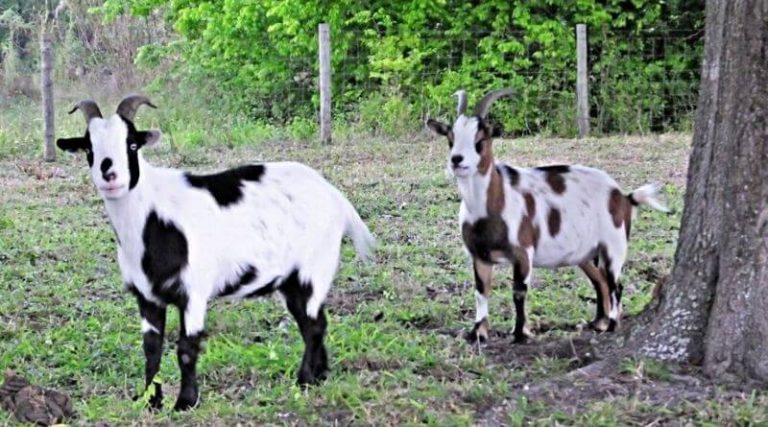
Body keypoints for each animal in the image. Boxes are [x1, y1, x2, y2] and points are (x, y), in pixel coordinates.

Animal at [56, 95, 375, 411]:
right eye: (89, 148)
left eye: (132, 145)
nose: (109, 175)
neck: (151, 218)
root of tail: (335, 195)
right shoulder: (146, 296)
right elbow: (151, 348)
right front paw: (151, 401)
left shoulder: (193, 291)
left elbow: (186, 348)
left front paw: (185, 402)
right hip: (292, 280)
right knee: (314, 320)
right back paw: (319, 376)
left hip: (313, 266)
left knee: (313, 325)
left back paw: (304, 380)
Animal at [427, 89, 668, 343]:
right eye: (450, 139)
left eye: (480, 140)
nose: (456, 160)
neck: (491, 206)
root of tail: (623, 196)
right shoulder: (479, 255)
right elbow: (481, 291)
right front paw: (478, 333)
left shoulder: (523, 252)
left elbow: (519, 292)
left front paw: (520, 334)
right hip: (586, 252)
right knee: (600, 281)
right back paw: (598, 323)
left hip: (614, 244)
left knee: (615, 284)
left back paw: (612, 325)